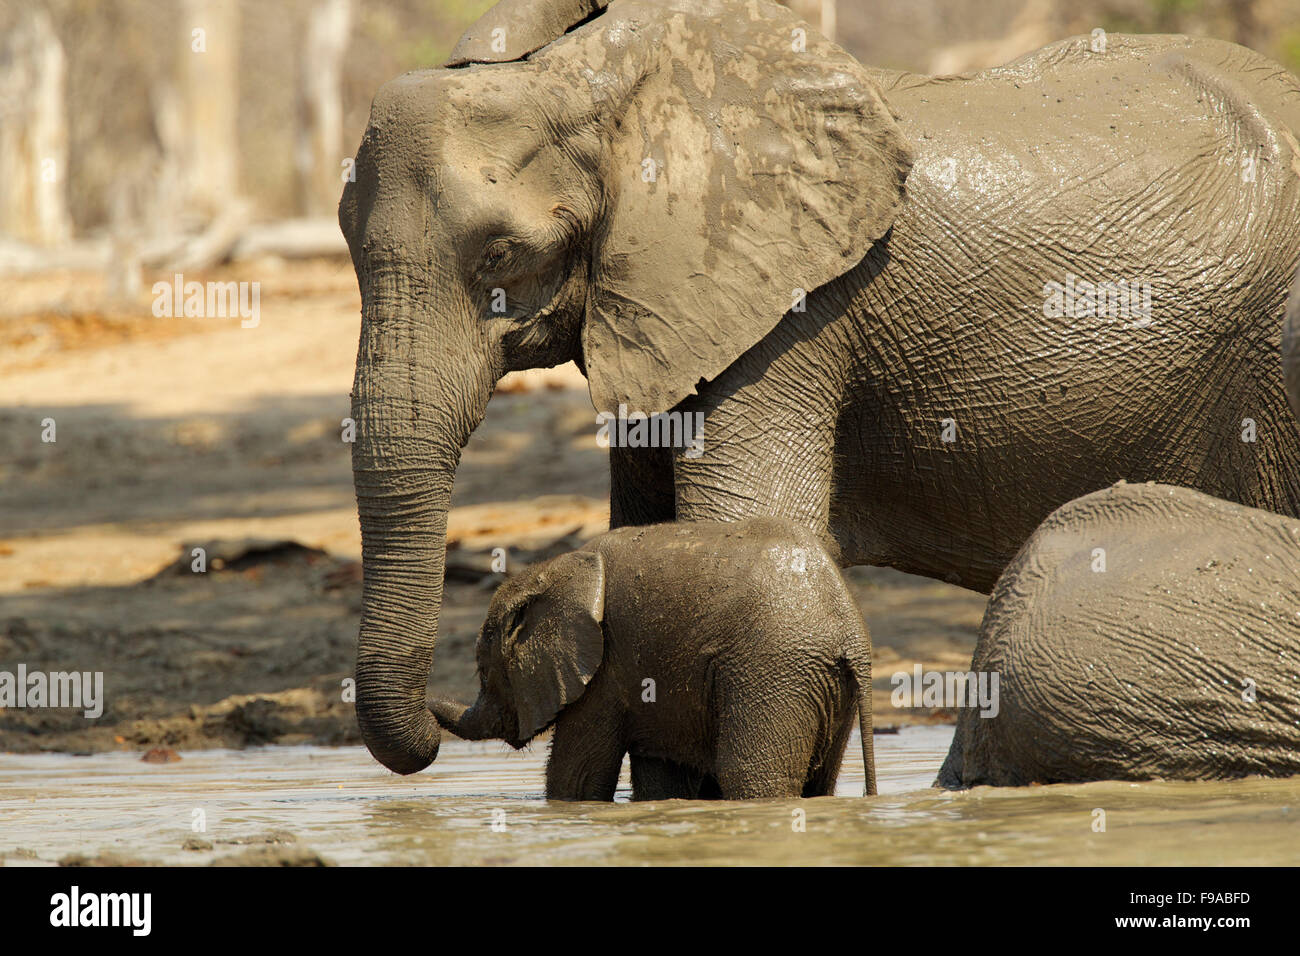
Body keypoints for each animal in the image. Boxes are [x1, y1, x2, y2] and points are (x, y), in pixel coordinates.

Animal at [429, 519, 875, 800]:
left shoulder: (602, 670)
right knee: (819, 782)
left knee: (753, 776)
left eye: (482, 670)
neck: (554, 569)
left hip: (774, 669)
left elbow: (577, 779)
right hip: (826, 684)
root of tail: (850, 629)